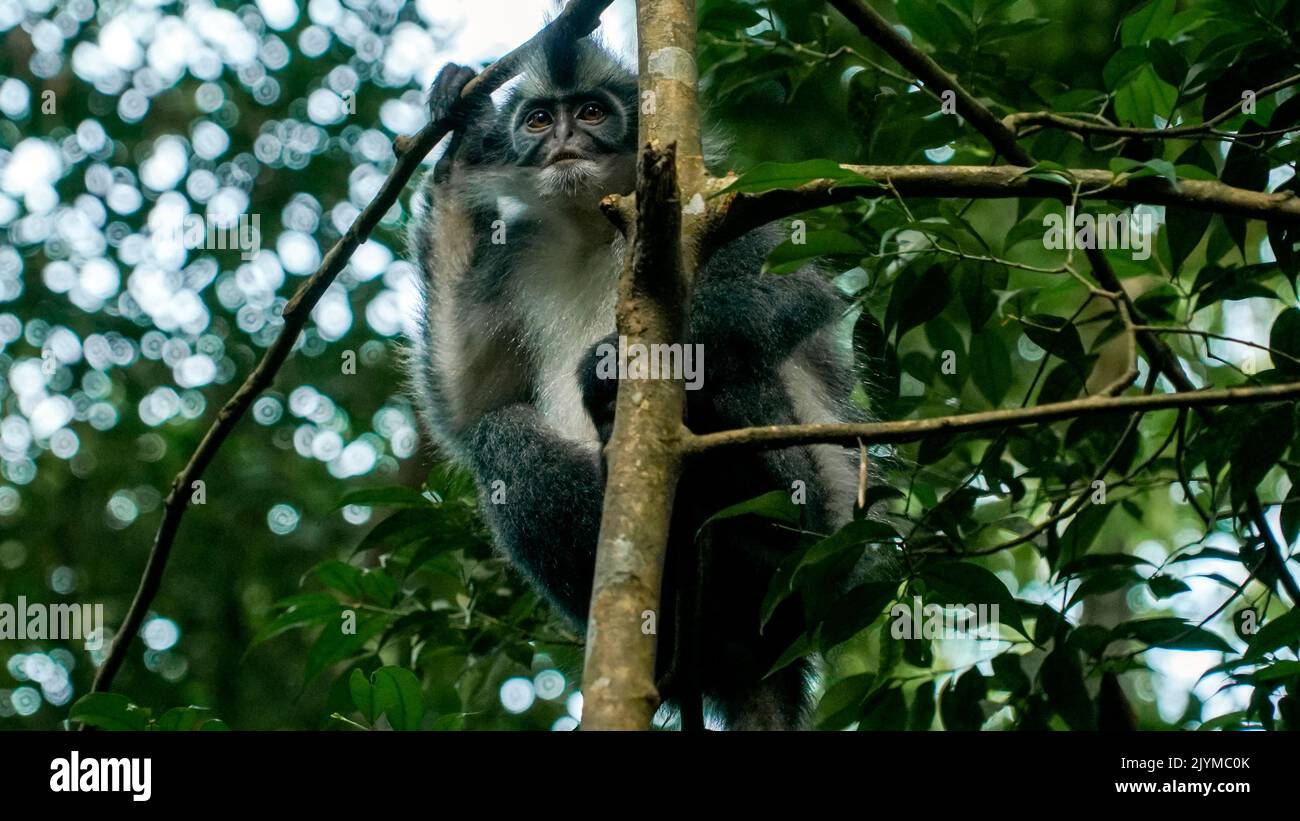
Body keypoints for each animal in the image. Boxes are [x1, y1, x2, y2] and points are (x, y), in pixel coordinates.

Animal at [406, 34, 868, 729]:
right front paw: (462, 129)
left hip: (811, 537)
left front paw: (609, 363)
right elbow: (464, 403)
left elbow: (797, 298)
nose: (565, 139)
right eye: (538, 120)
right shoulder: (515, 256)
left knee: (730, 378)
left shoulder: (715, 218)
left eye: (592, 113)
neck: (601, 229)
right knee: (499, 431)